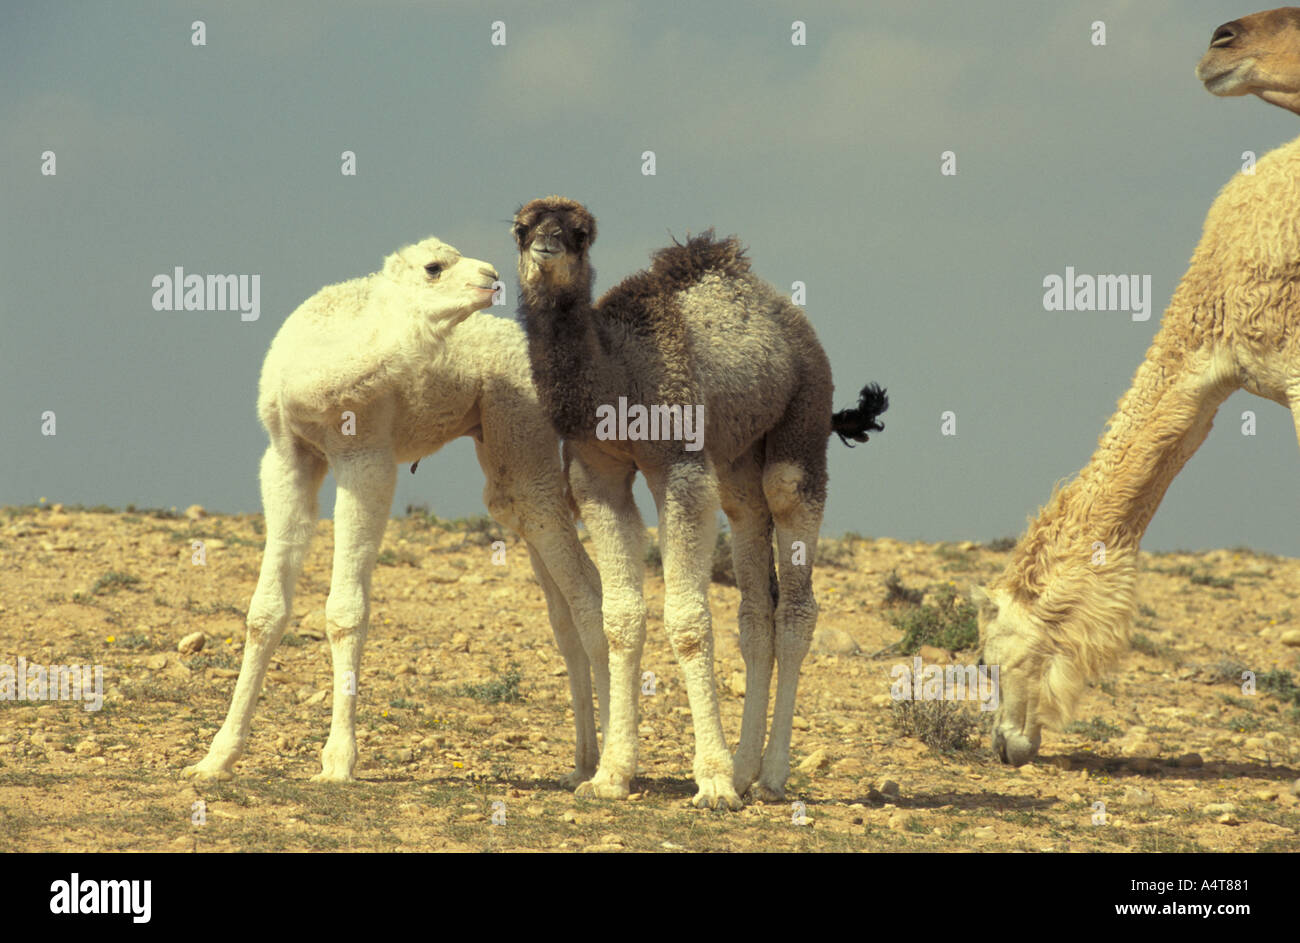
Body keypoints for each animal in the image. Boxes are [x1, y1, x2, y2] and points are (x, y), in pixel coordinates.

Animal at [183, 236, 609, 786]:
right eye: (434, 267)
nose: (492, 277)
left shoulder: (366, 457)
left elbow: (345, 611)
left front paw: (337, 763)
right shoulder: (285, 457)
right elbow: (264, 612)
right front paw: (215, 759)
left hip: (521, 428)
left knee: (584, 586)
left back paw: (612, 767)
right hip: (510, 455)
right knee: (556, 593)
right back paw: (583, 763)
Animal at [513, 197, 887, 808]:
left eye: (580, 233)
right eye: (521, 229)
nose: (546, 247)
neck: (616, 372)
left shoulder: (679, 464)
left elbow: (689, 621)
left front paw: (711, 781)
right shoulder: (596, 471)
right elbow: (621, 617)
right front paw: (610, 776)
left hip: (803, 419)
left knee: (796, 591)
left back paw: (770, 776)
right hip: (737, 463)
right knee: (756, 601)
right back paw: (747, 770)